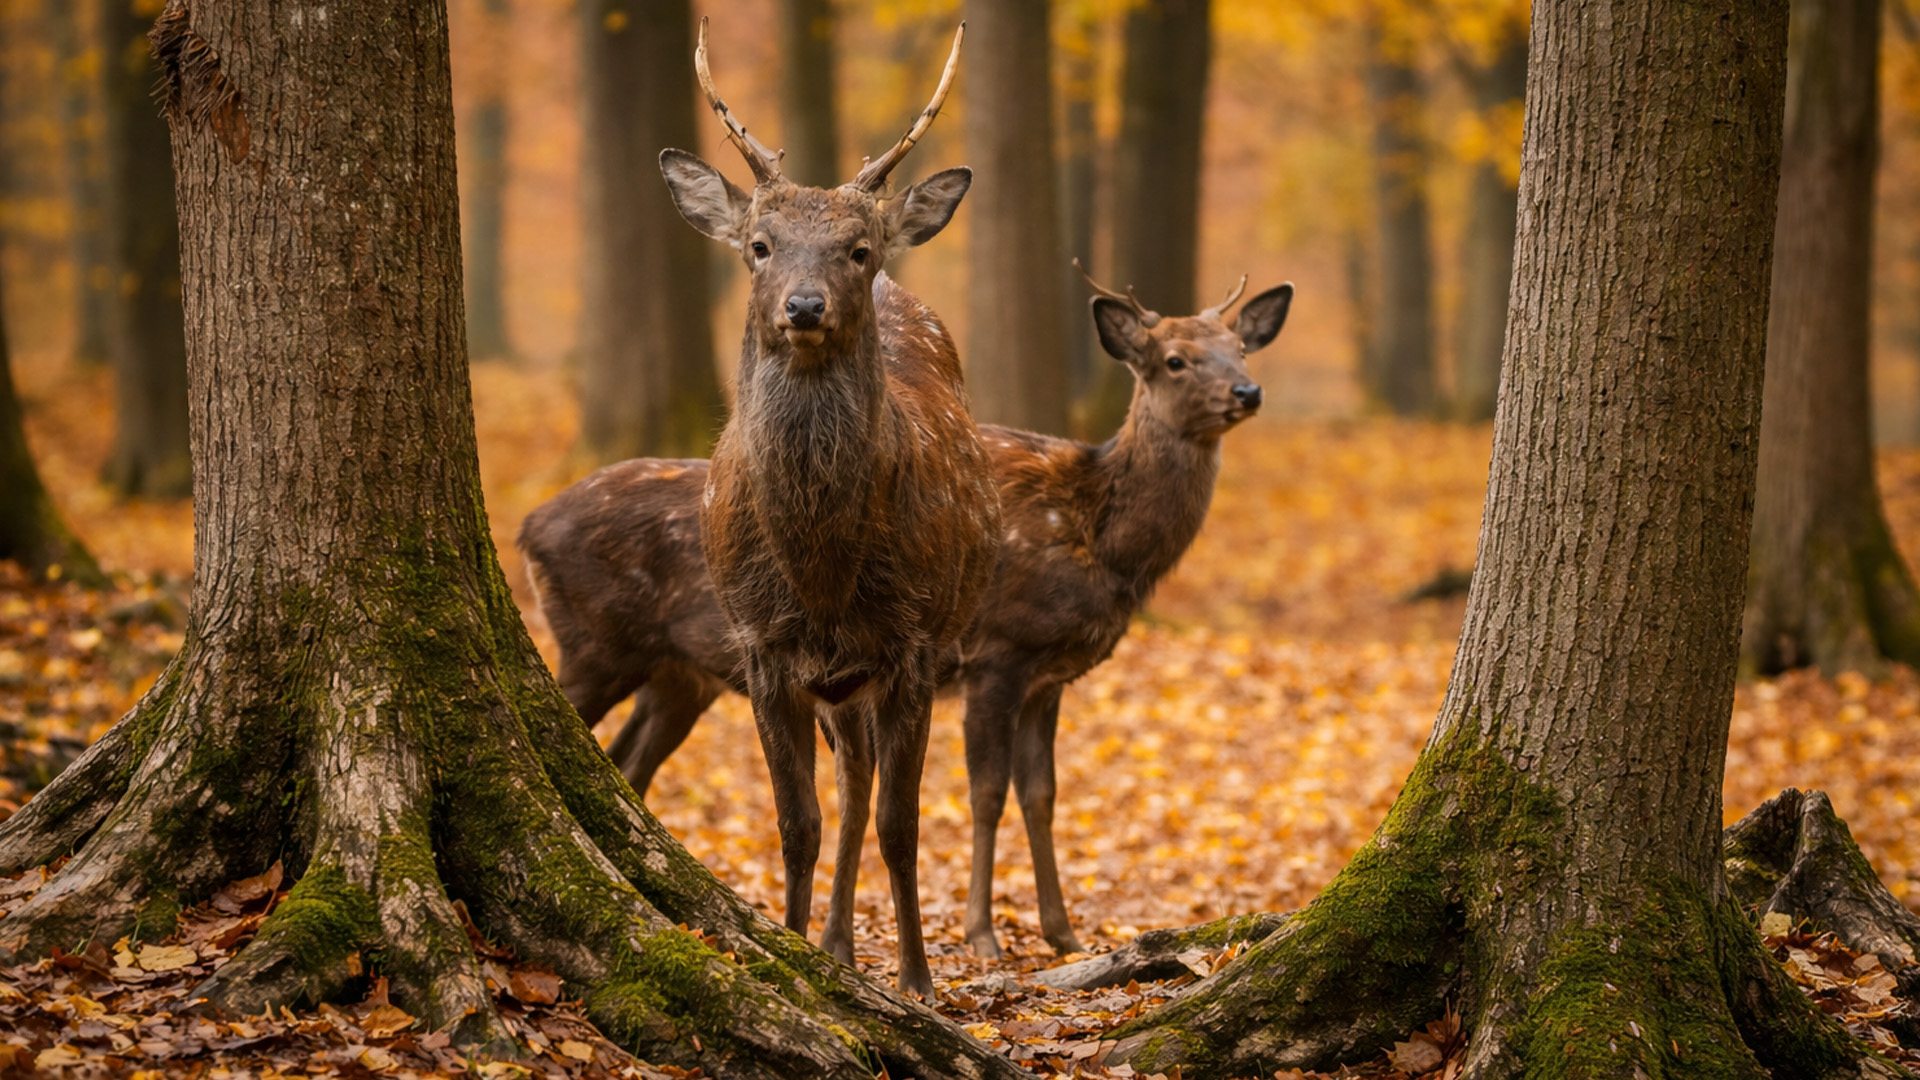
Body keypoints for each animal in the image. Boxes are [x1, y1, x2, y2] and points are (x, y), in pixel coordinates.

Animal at [522, 259, 1292, 962]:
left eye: (1241, 348)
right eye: (1174, 359)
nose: (1248, 391)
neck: (1098, 537)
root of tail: (530, 527)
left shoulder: (1050, 676)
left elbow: (1042, 793)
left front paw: (1064, 933)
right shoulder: (1000, 653)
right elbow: (988, 793)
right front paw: (984, 935)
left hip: (680, 678)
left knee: (628, 766)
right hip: (596, 643)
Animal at [640, 20, 997, 997]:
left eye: (857, 248)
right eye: (760, 244)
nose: (805, 305)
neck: (822, 566)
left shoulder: (914, 641)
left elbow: (905, 826)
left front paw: (918, 981)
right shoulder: (762, 643)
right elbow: (793, 823)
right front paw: (797, 950)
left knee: (868, 792)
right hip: (834, 682)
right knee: (850, 786)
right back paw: (834, 941)